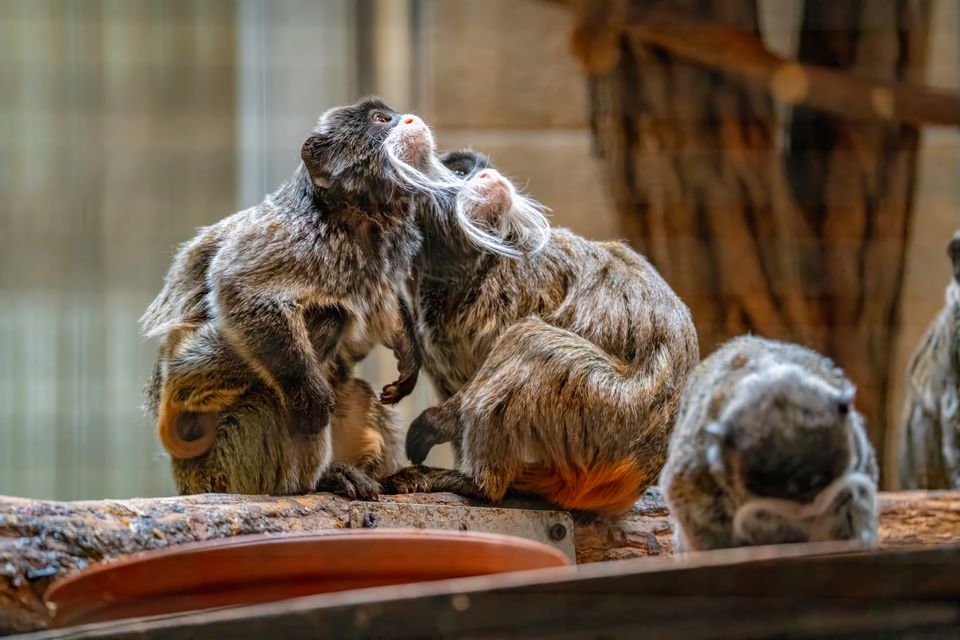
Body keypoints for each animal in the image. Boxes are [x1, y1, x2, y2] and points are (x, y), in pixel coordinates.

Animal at [140, 97, 451, 495]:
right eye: (382, 120)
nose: (410, 120)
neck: (357, 218)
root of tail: (188, 479)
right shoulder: (294, 235)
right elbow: (237, 286)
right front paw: (312, 396)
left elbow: (382, 303)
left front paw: (410, 356)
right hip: (224, 462)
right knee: (324, 321)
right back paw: (315, 482)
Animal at [381, 150, 700, 515]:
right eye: (461, 173)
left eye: (472, 170)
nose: (490, 177)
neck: (463, 273)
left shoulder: (527, 277)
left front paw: (437, 423)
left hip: (616, 413)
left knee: (528, 341)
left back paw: (481, 485)